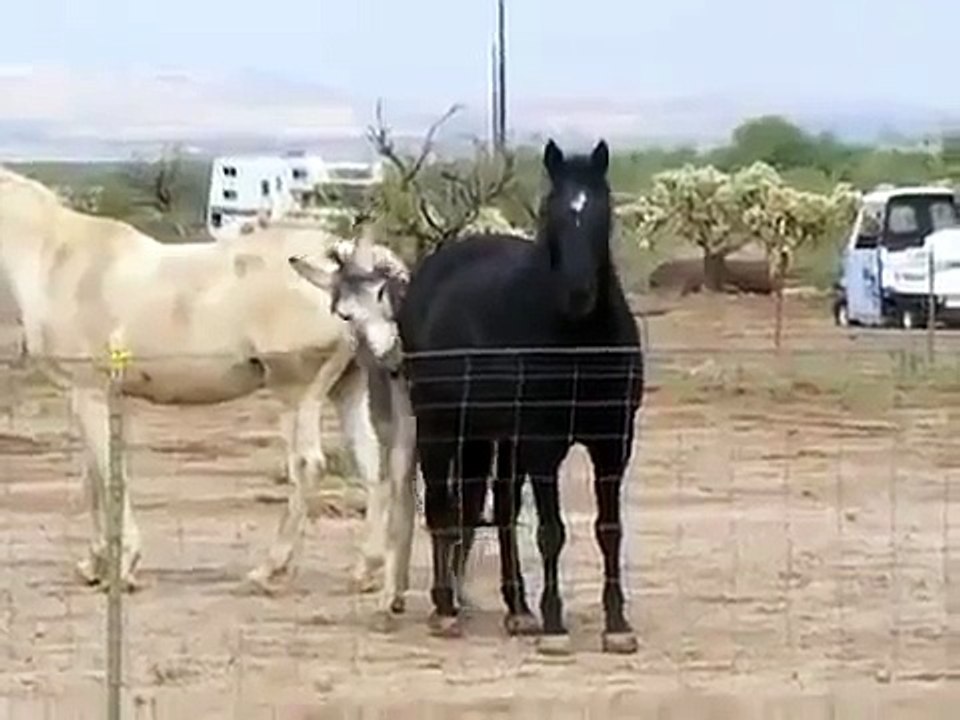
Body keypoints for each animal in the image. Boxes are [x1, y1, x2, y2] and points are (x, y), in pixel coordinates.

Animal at [0, 166, 399, 595]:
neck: (53, 259)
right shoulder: (96, 396)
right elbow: (94, 477)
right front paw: (96, 564)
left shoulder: (87, 392)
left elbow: (107, 475)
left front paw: (123, 566)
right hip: (347, 389)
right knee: (372, 464)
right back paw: (365, 568)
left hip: (296, 395)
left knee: (306, 466)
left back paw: (269, 569)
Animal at [288, 229, 541, 636]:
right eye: (345, 315)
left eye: (380, 291)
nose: (391, 354)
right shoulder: (401, 425)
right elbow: (402, 489)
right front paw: (393, 594)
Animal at [396, 139, 645, 654]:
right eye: (552, 209)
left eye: (603, 209)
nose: (578, 292)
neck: (578, 342)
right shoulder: (542, 444)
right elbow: (552, 532)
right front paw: (554, 626)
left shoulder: (613, 443)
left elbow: (609, 531)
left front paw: (616, 624)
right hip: (439, 424)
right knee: (442, 504)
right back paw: (446, 609)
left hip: (491, 435)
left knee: (498, 509)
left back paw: (517, 609)